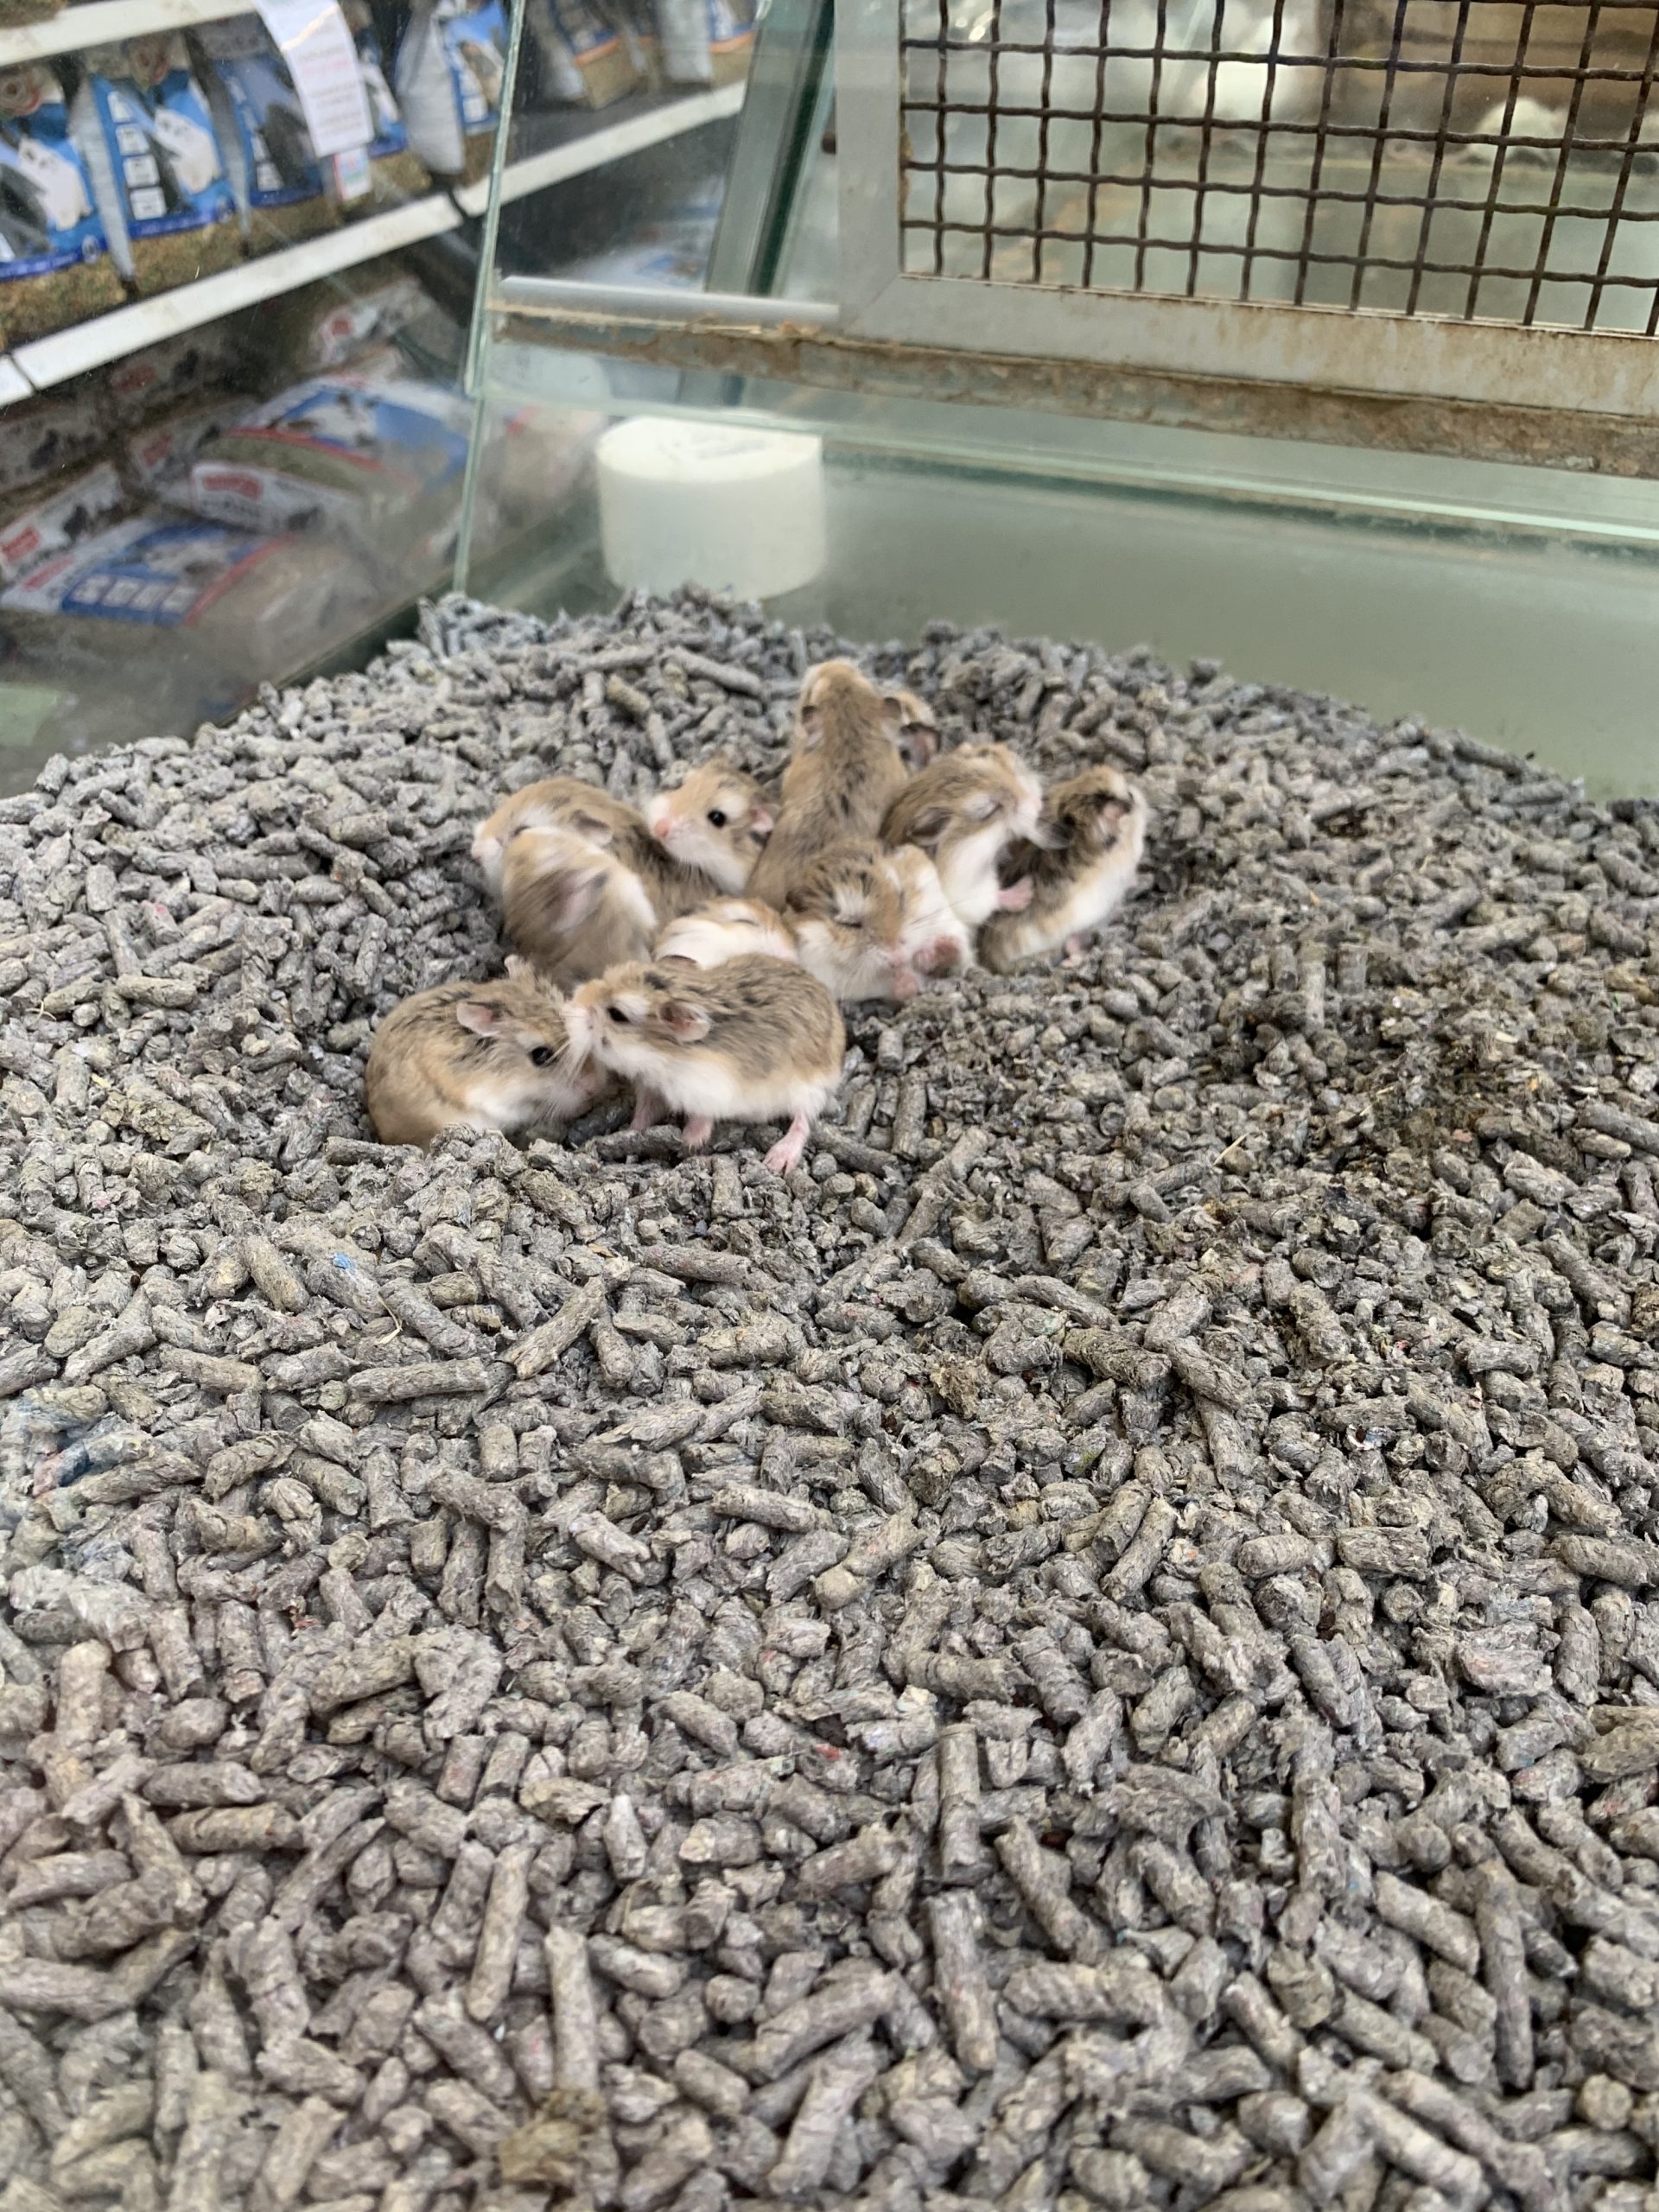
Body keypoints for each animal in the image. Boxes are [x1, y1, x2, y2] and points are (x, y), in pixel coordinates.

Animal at [564, 954, 845, 1174]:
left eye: (617, 1014)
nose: (573, 1002)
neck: (659, 1056)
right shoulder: (651, 1087)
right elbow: (645, 1113)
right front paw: (629, 1133)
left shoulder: (710, 1091)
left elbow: (703, 1117)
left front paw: (688, 1143)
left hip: (809, 1088)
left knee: (803, 1121)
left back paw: (776, 1161)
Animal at [881, 742, 1052, 930]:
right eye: (989, 811)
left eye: (986, 753)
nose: (1039, 804)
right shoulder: (967, 895)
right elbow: (991, 899)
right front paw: (1028, 888)